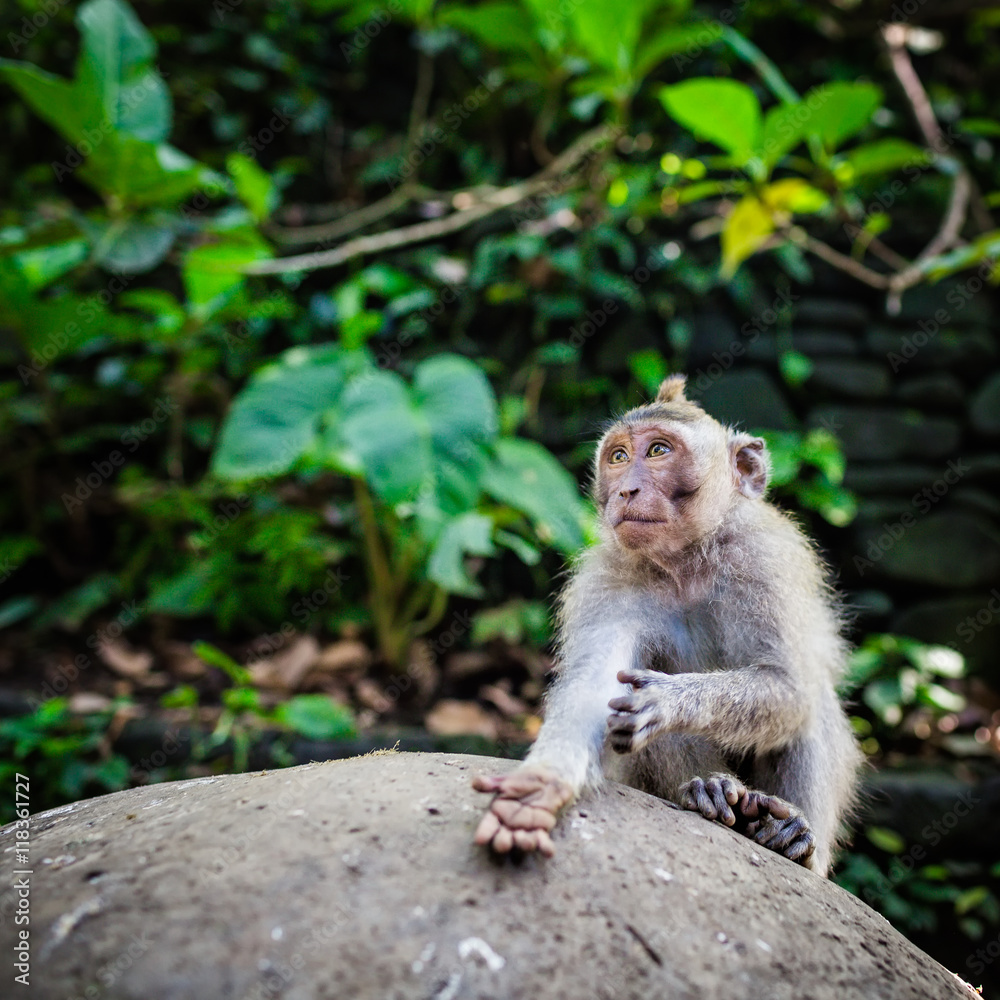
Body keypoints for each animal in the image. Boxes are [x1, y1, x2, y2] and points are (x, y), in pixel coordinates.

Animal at [473, 375, 862, 876]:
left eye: (658, 451)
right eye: (619, 457)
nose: (626, 490)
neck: (686, 563)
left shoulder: (764, 561)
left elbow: (791, 687)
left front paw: (668, 700)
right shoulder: (609, 582)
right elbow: (594, 692)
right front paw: (537, 790)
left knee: (812, 703)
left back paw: (791, 835)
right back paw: (709, 791)